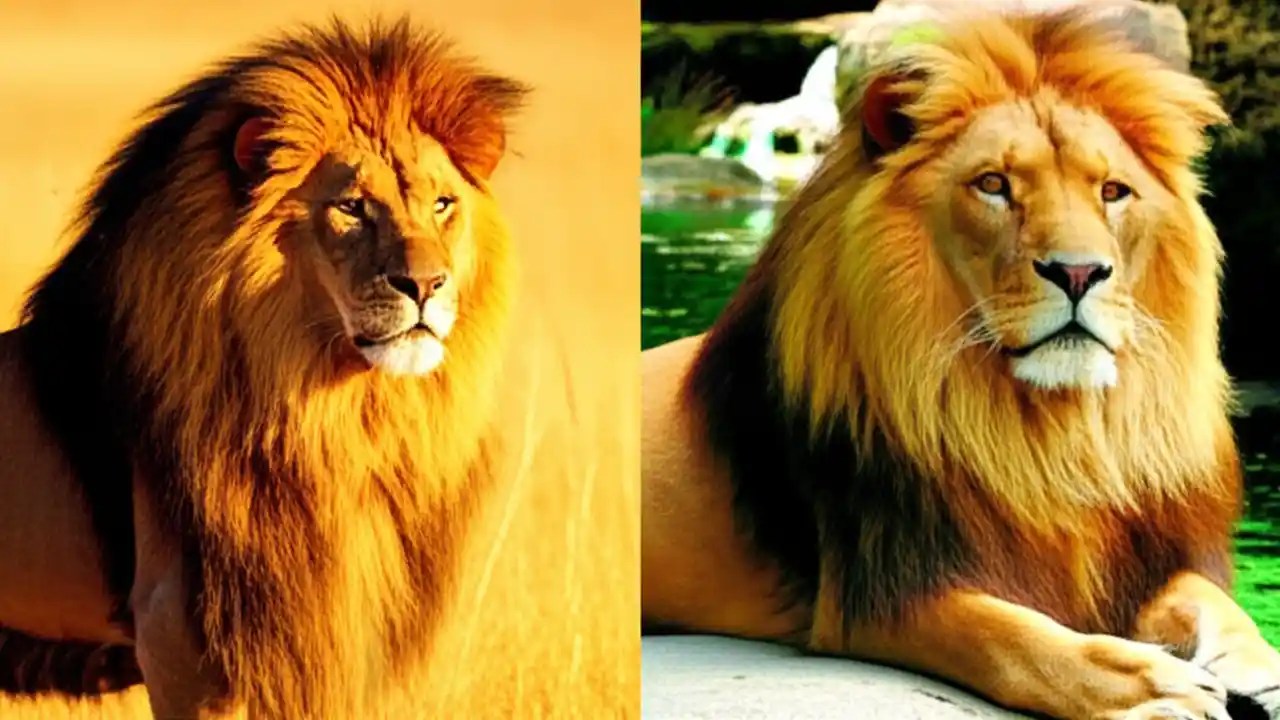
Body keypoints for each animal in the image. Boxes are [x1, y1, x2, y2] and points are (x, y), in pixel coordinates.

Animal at [0, 15, 526, 719]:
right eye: (352, 207)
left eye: (443, 204)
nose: (426, 284)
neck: (340, 426)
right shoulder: (180, 637)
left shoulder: (338, 633)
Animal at [642, 7, 1280, 719]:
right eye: (994, 186)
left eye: (1113, 192)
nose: (1079, 272)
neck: (1050, 435)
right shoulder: (882, 593)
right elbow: (1020, 641)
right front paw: (1157, 685)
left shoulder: (1136, 561)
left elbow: (1214, 602)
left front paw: (1260, 667)